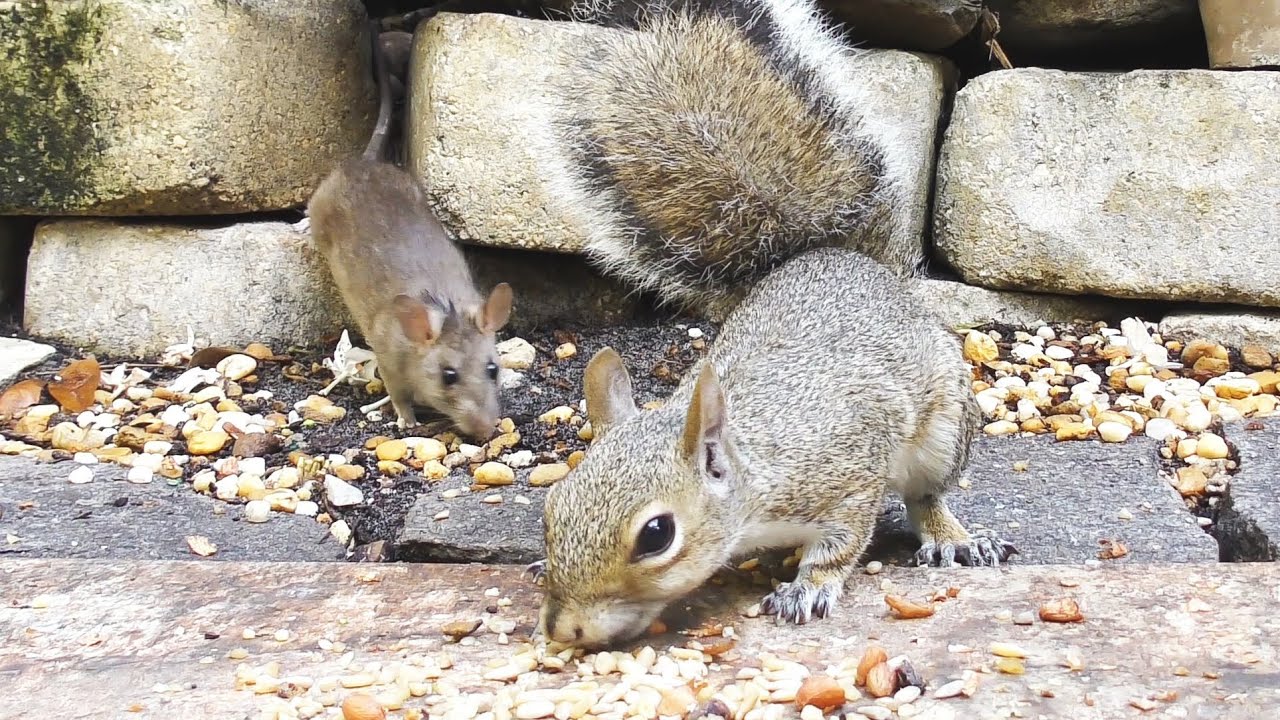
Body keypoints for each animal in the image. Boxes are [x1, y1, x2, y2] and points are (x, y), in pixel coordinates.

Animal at [527, 0, 1015, 648]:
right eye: (551, 510)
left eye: (656, 535)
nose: (563, 629)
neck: (752, 476)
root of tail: (842, 258)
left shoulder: (846, 474)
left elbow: (841, 544)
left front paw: (807, 588)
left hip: (944, 427)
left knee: (925, 495)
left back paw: (951, 537)